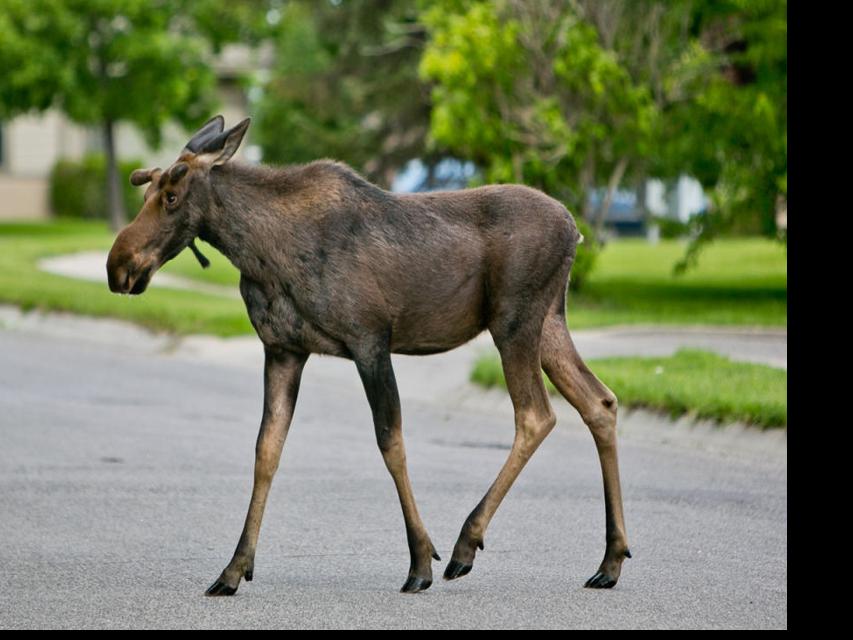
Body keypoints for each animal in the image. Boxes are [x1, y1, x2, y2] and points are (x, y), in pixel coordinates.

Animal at [106, 115, 631, 596]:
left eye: (172, 196)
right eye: (147, 190)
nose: (118, 266)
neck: (260, 255)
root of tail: (575, 231)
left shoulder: (371, 340)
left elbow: (390, 441)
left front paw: (419, 561)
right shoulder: (283, 350)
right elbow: (266, 450)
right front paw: (234, 570)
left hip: (514, 321)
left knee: (536, 414)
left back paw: (465, 545)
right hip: (549, 322)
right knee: (599, 401)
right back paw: (610, 561)